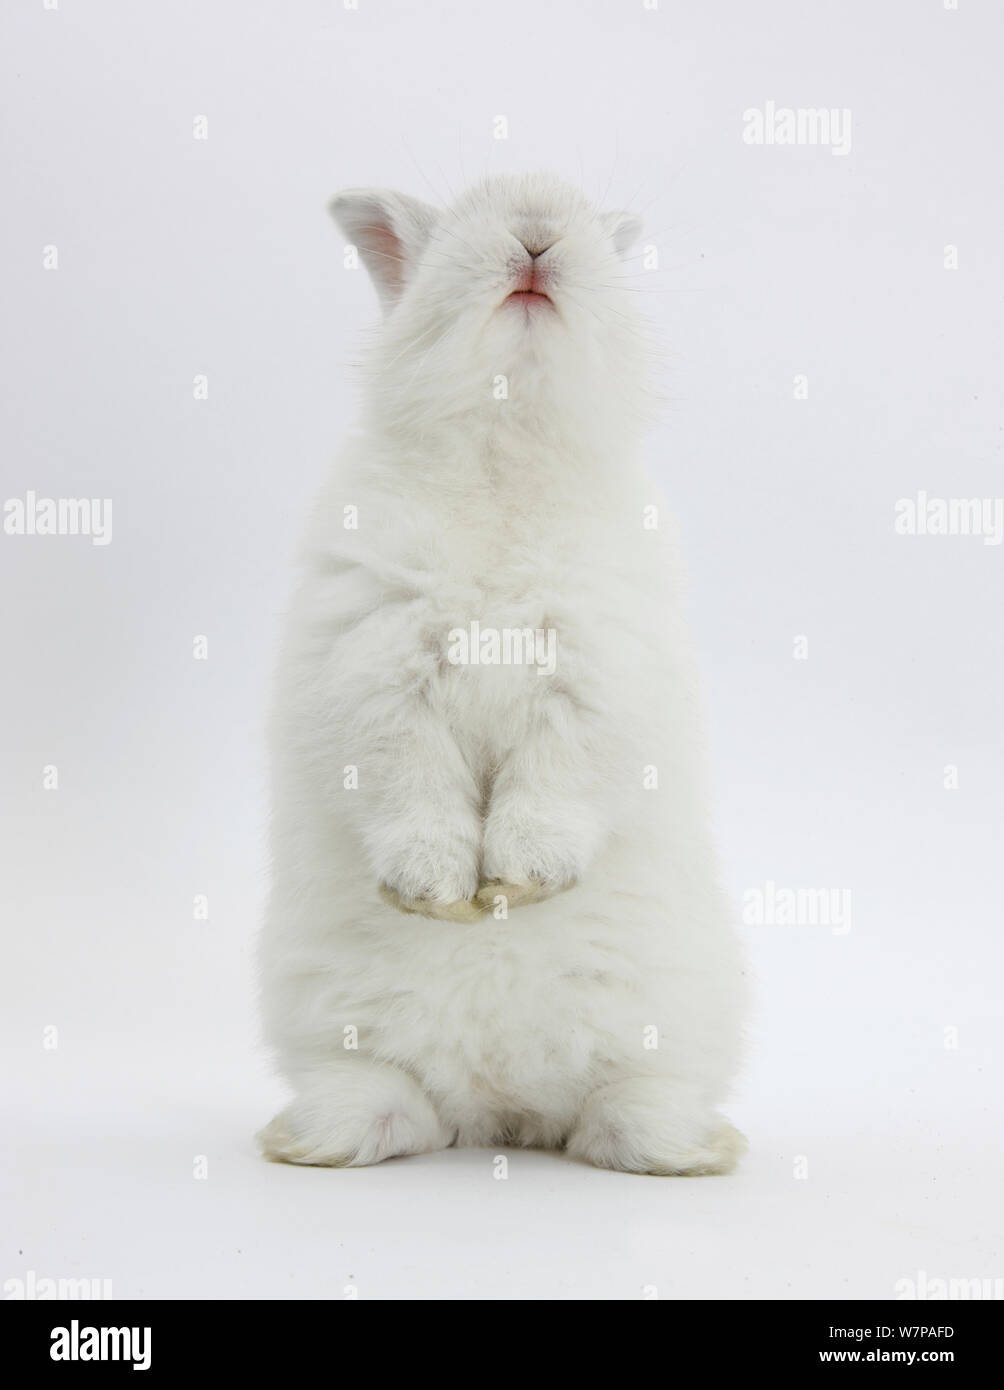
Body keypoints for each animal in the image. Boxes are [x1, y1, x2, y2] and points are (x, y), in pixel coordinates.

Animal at [257, 172, 747, 1175]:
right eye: (464, 221)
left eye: (590, 226)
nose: (535, 234)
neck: (505, 447)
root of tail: (501, 1113)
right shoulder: (376, 660)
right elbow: (411, 786)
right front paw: (438, 891)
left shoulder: (596, 670)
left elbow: (552, 786)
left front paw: (518, 884)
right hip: (333, 1030)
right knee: (387, 1099)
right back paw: (310, 1137)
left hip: (665, 1032)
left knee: (622, 1107)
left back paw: (694, 1146)